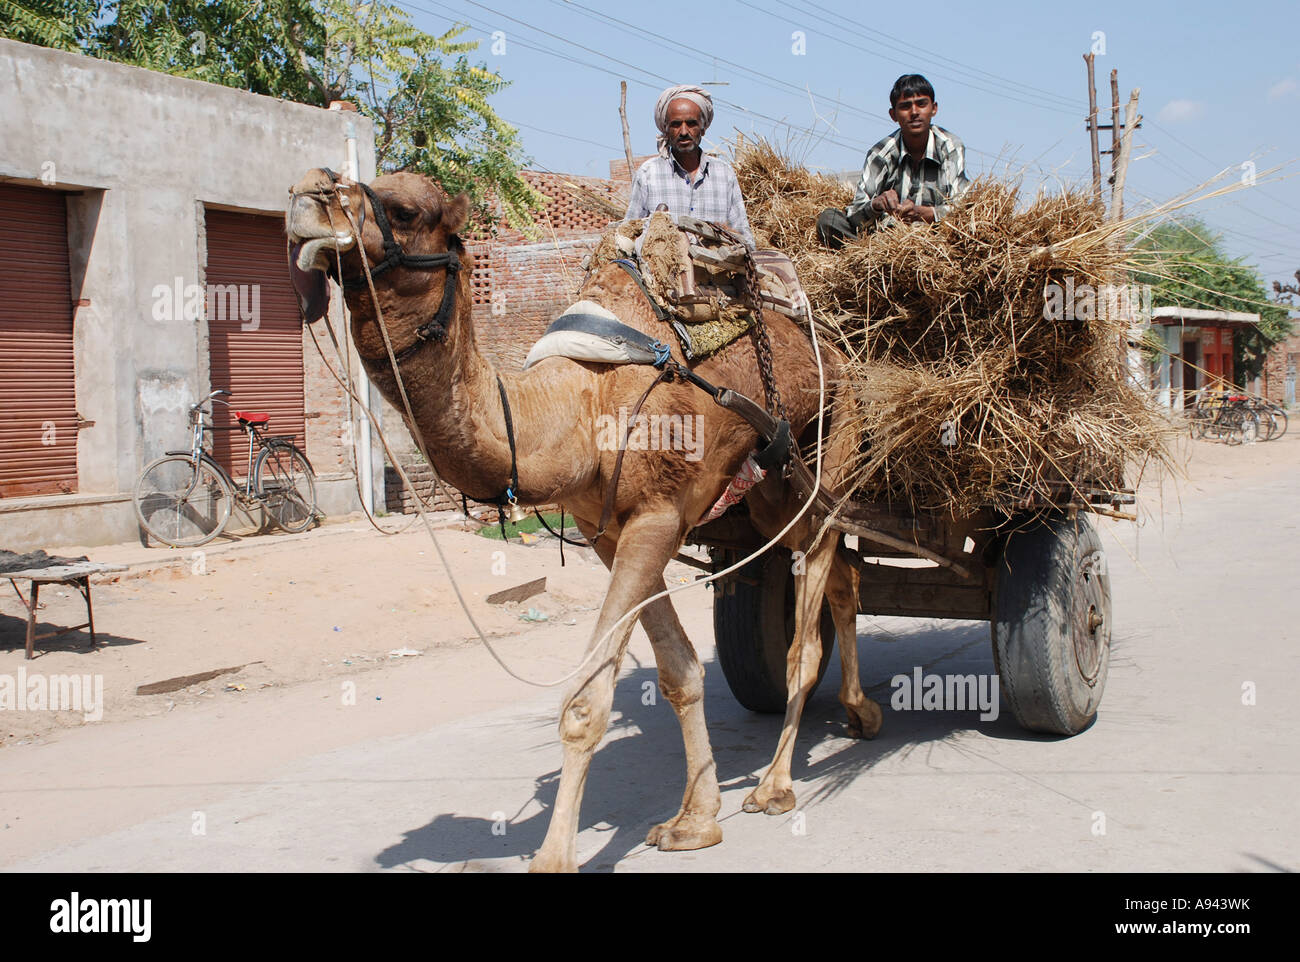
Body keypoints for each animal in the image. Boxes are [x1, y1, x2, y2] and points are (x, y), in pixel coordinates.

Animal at [285, 169, 883, 872]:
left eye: (404, 208)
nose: (307, 196)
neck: (576, 408)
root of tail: (837, 352)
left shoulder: (656, 517)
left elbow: (586, 703)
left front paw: (553, 858)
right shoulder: (612, 533)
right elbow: (679, 672)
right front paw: (695, 821)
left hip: (832, 443)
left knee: (807, 634)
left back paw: (776, 784)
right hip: (772, 491)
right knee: (844, 574)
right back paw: (860, 712)